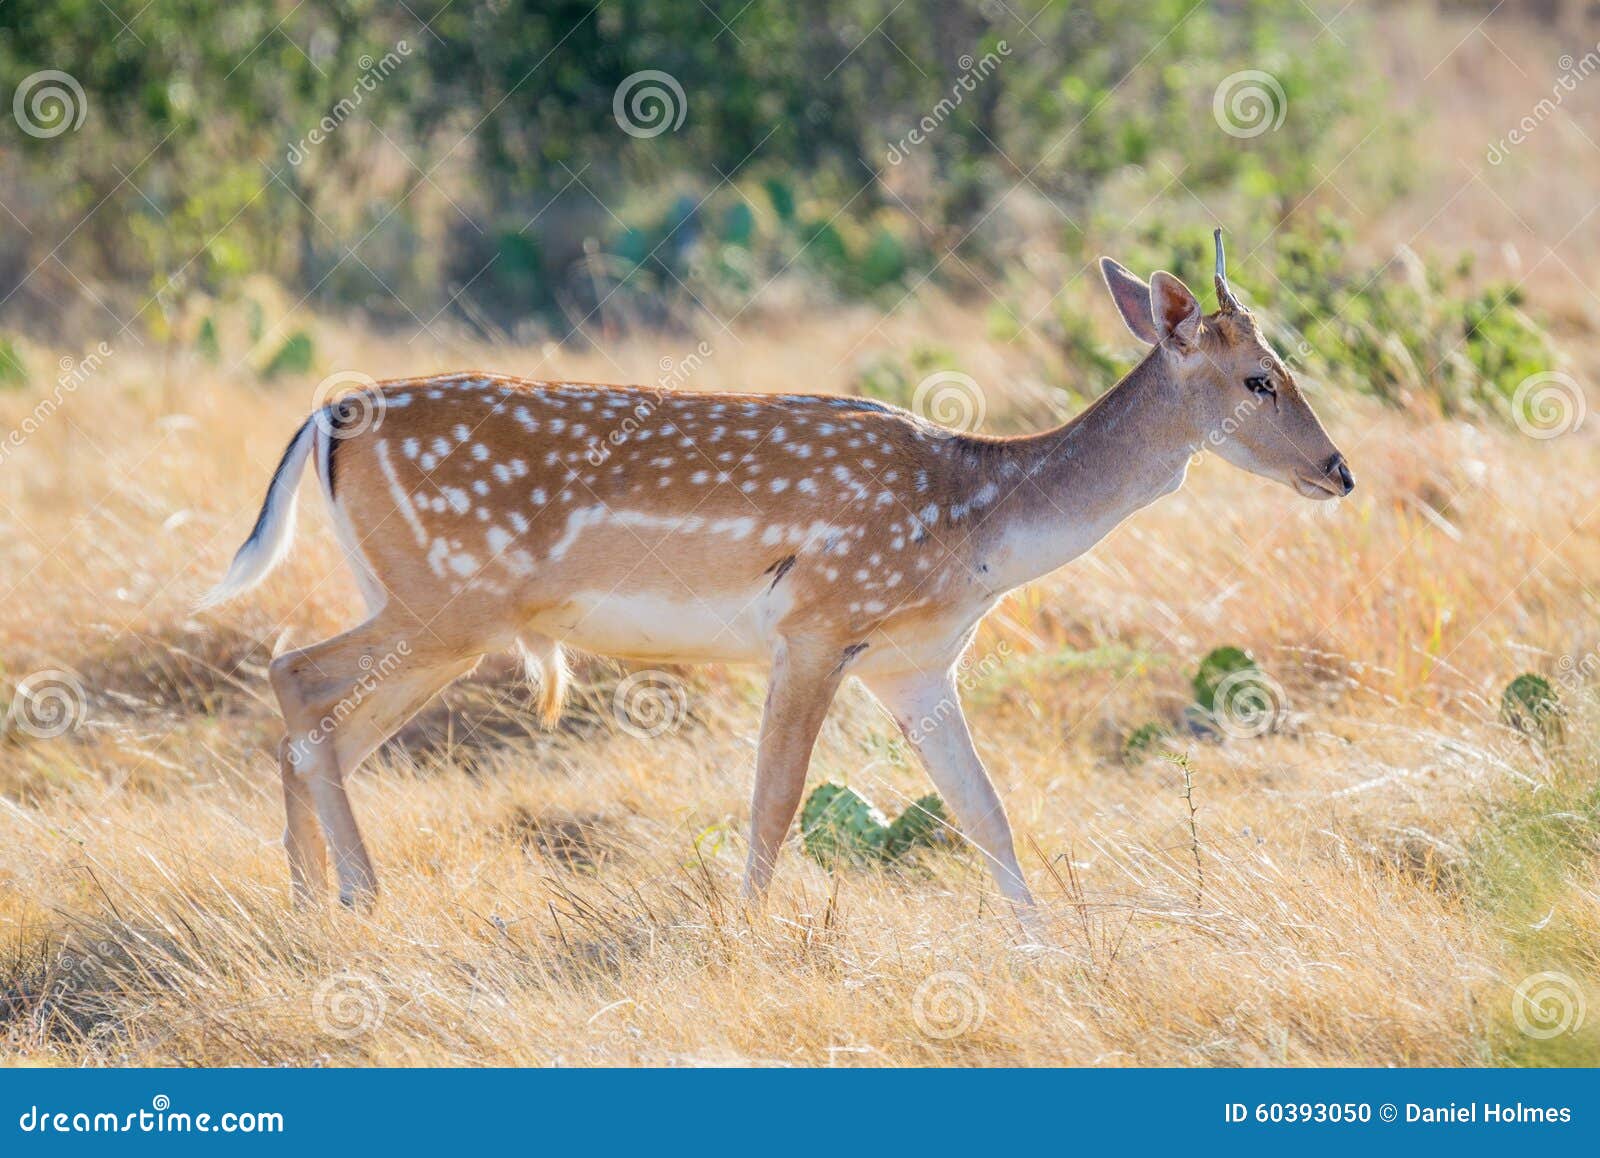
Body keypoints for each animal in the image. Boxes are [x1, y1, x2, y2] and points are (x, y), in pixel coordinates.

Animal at [200, 231, 1352, 924]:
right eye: (1260, 378)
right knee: (298, 678)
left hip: (426, 606)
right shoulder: (815, 622)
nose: (1338, 470)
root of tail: (328, 414)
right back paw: (357, 898)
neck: (976, 522)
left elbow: (983, 808)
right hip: (449, 600)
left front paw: (1041, 946)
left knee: (321, 717)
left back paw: (314, 901)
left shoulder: (916, 664)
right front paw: (746, 935)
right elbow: (777, 803)